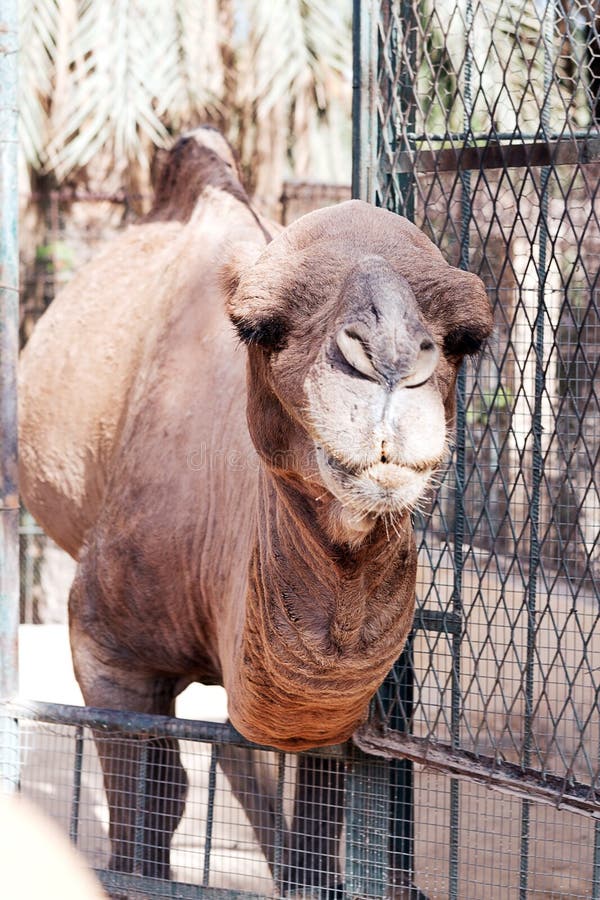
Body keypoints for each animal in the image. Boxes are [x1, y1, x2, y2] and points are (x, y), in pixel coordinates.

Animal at [18, 127, 493, 894]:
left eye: (466, 339)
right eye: (259, 327)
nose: (390, 359)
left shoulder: (337, 715)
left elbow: (312, 837)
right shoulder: (106, 650)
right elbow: (150, 816)